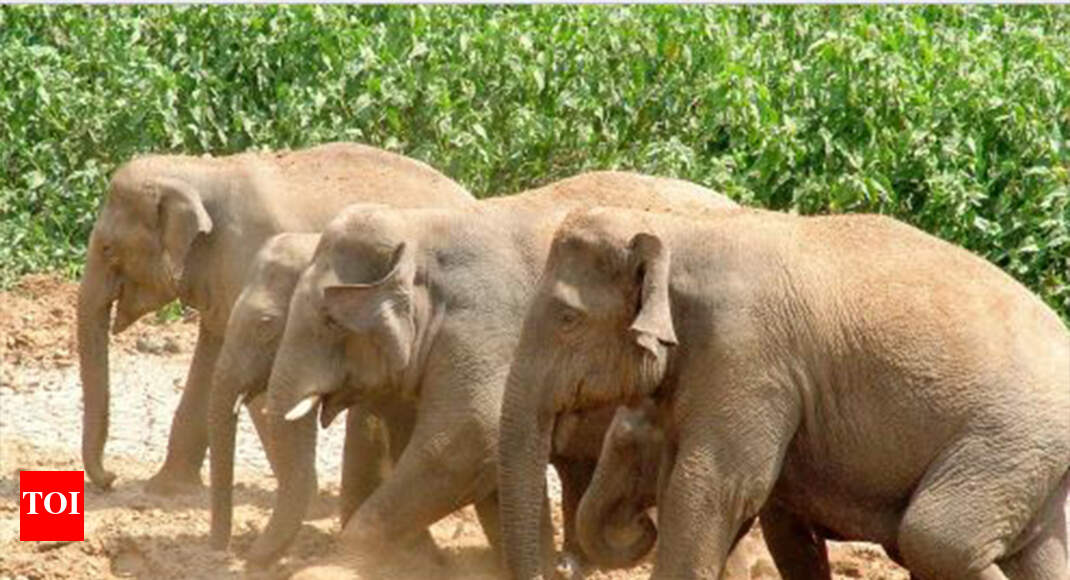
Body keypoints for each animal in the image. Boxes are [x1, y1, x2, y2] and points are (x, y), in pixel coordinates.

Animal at [77, 142, 473, 493]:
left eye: (108, 249)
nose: (110, 479)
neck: (202, 170)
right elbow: (212, 362)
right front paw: (165, 490)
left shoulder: (247, 255)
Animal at [250, 171, 738, 568]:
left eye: (330, 321)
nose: (250, 560)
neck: (422, 228)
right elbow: (494, 465)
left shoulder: (485, 331)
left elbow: (465, 439)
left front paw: (350, 557)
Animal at [497, 205, 1070, 580]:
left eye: (567, 319)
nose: (638, 526)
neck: (679, 227)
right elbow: (764, 513)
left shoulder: (747, 356)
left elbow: (710, 488)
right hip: (1034, 462)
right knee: (1033, 554)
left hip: (1009, 437)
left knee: (936, 541)